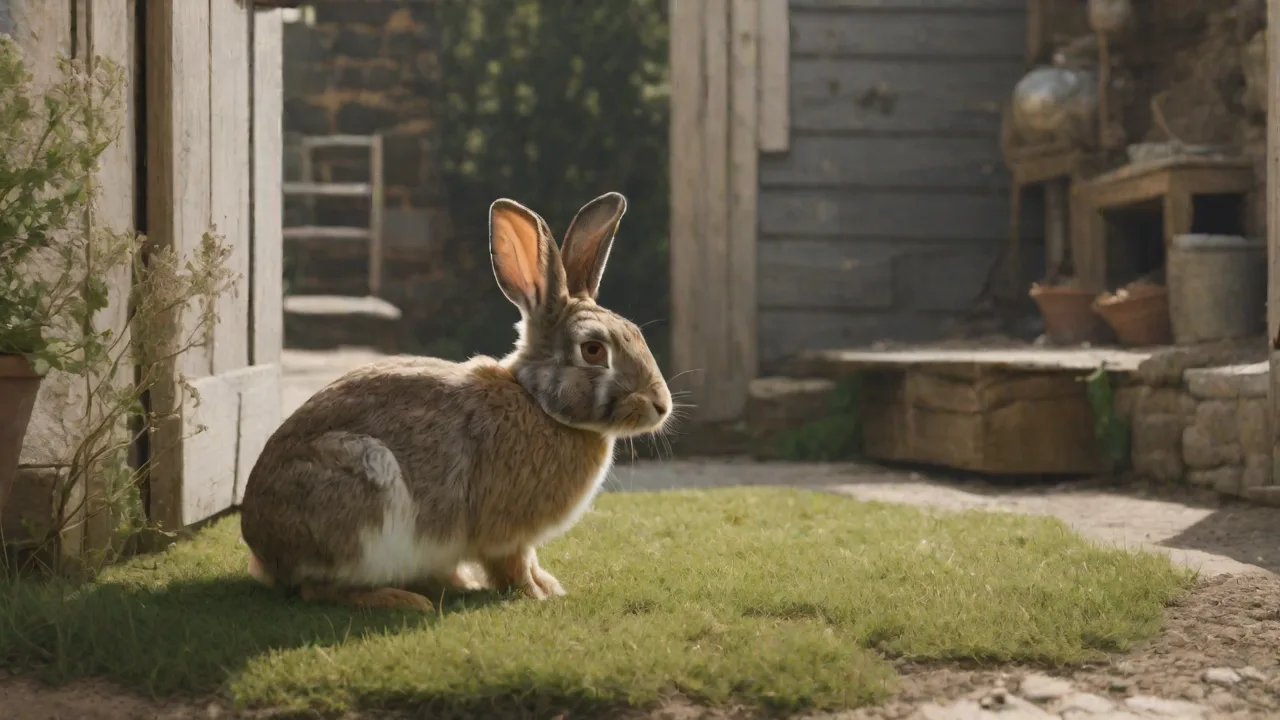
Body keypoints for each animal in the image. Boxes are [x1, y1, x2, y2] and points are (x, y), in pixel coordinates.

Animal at [239, 192, 673, 611]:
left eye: (635, 332)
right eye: (593, 350)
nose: (661, 405)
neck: (539, 403)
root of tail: (264, 548)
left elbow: (531, 560)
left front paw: (550, 586)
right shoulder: (505, 533)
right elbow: (512, 565)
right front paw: (534, 595)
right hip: (362, 495)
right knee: (318, 588)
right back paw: (405, 600)